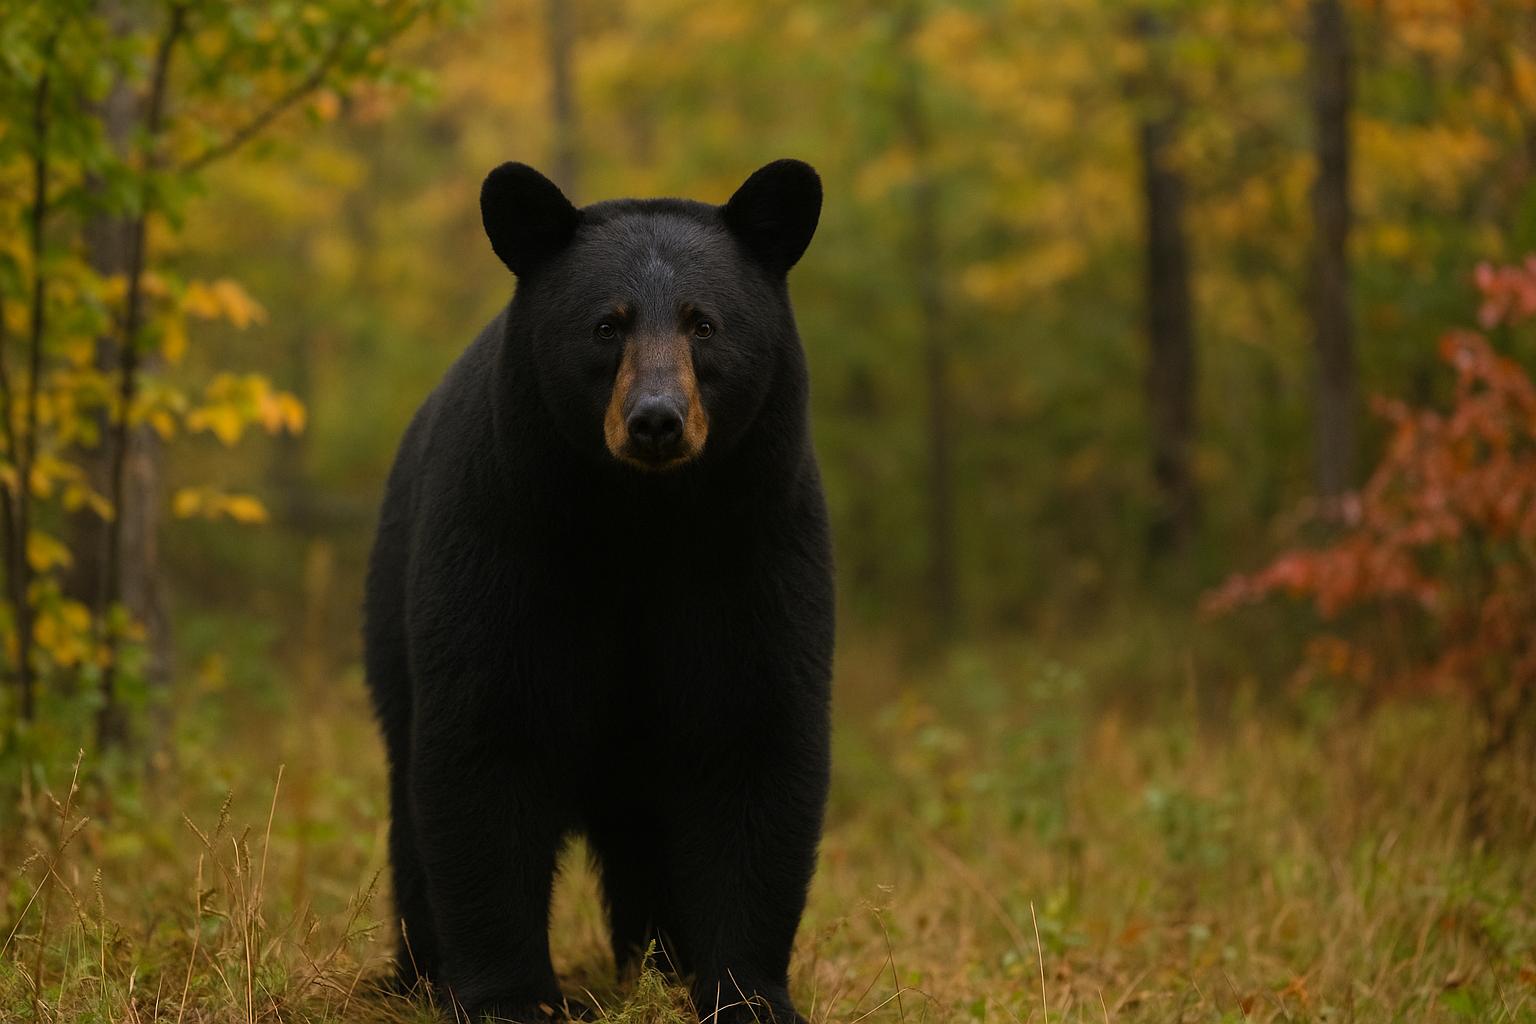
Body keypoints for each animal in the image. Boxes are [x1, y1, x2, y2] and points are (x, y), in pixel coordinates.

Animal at [362, 159, 834, 1024]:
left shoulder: (755, 547)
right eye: (606, 325)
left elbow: (756, 738)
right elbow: (485, 748)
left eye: (703, 324)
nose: (656, 420)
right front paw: (510, 996)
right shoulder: (504, 540)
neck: (638, 519)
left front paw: (746, 993)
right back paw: (419, 972)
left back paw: (659, 961)